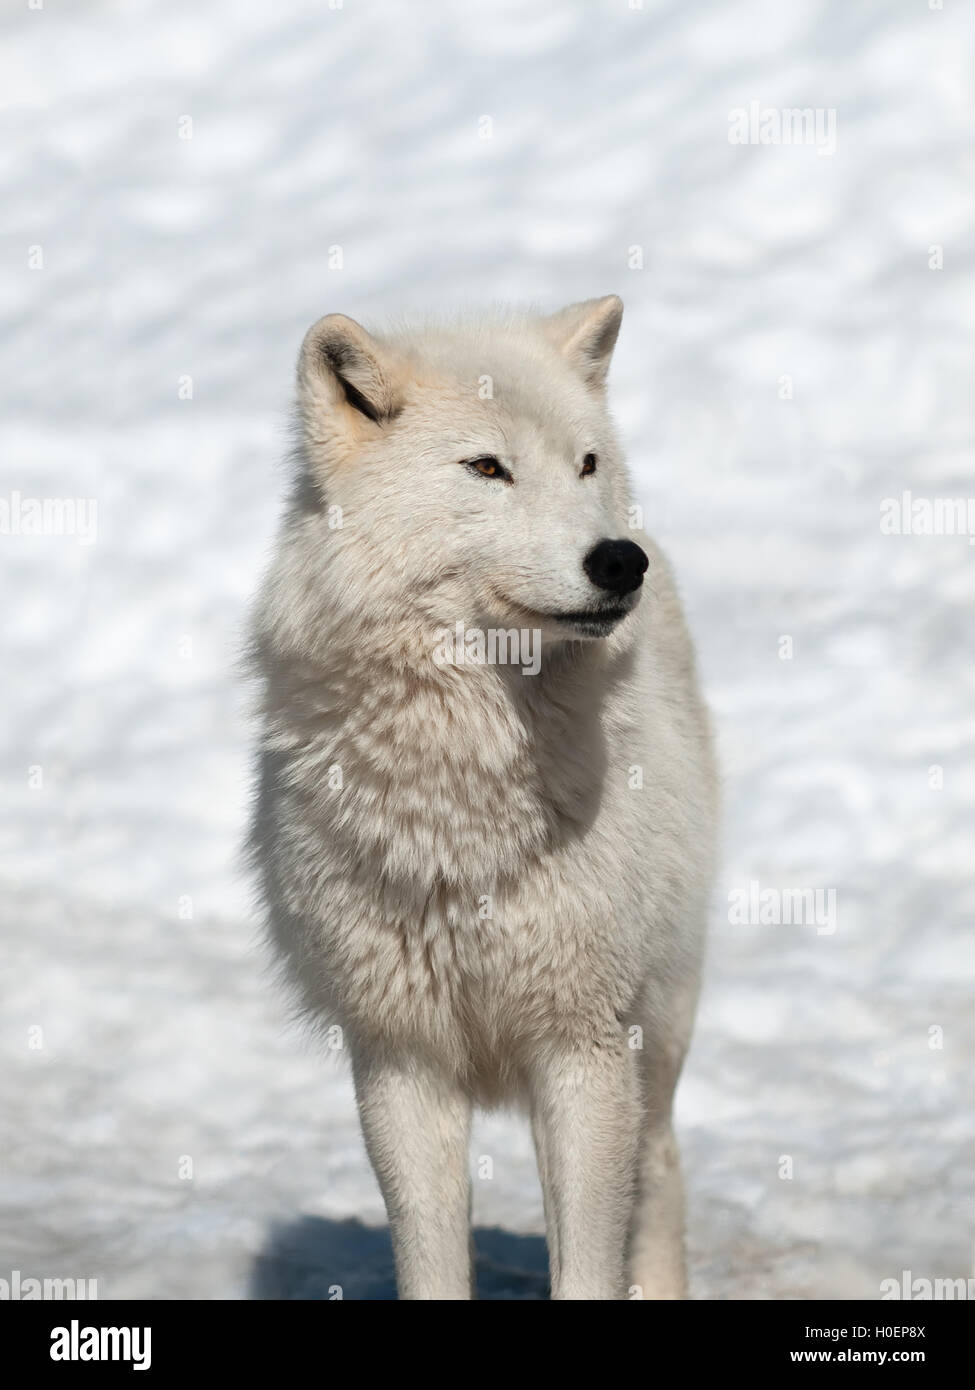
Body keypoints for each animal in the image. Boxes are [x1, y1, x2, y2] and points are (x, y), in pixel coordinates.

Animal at [248, 296, 718, 1300]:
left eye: (585, 463)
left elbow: (587, 1267)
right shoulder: (399, 1058)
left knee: (660, 1172)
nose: (618, 561)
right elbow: (431, 1258)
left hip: (656, 1031)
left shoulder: (581, 1045)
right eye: (486, 468)